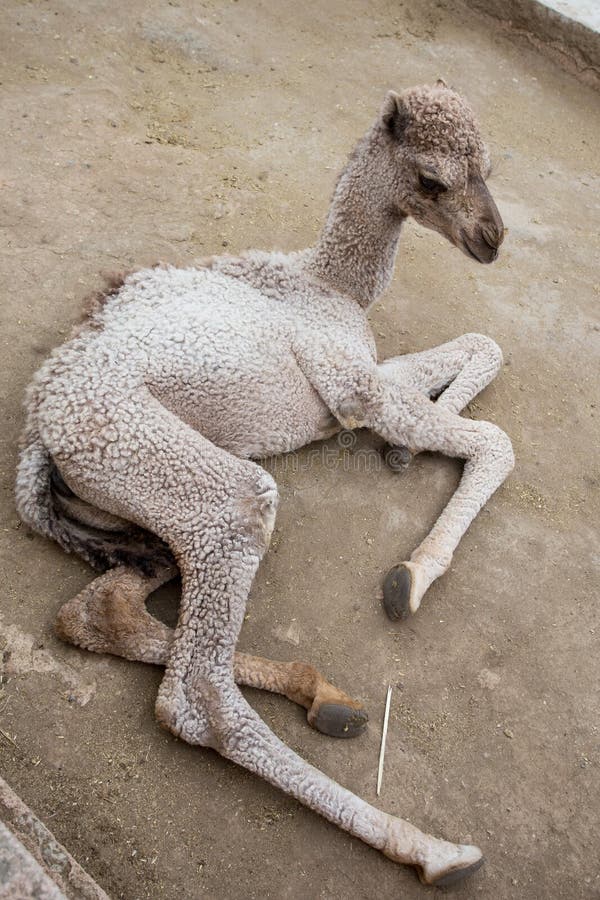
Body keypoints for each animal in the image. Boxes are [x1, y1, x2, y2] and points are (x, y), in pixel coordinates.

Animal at [15, 82, 513, 887]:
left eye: (490, 169)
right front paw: (412, 575)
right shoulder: (349, 384)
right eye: (434, 178)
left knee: (101, 609)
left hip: (139, 510)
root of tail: (37, 435)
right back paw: (431, 848)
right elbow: (493, 438)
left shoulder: (361, 371)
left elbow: (483, 344)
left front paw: (405, 452)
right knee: (193, 698)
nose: (492, 239)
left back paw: (328, 700)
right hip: (191, 477)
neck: (327, 281)